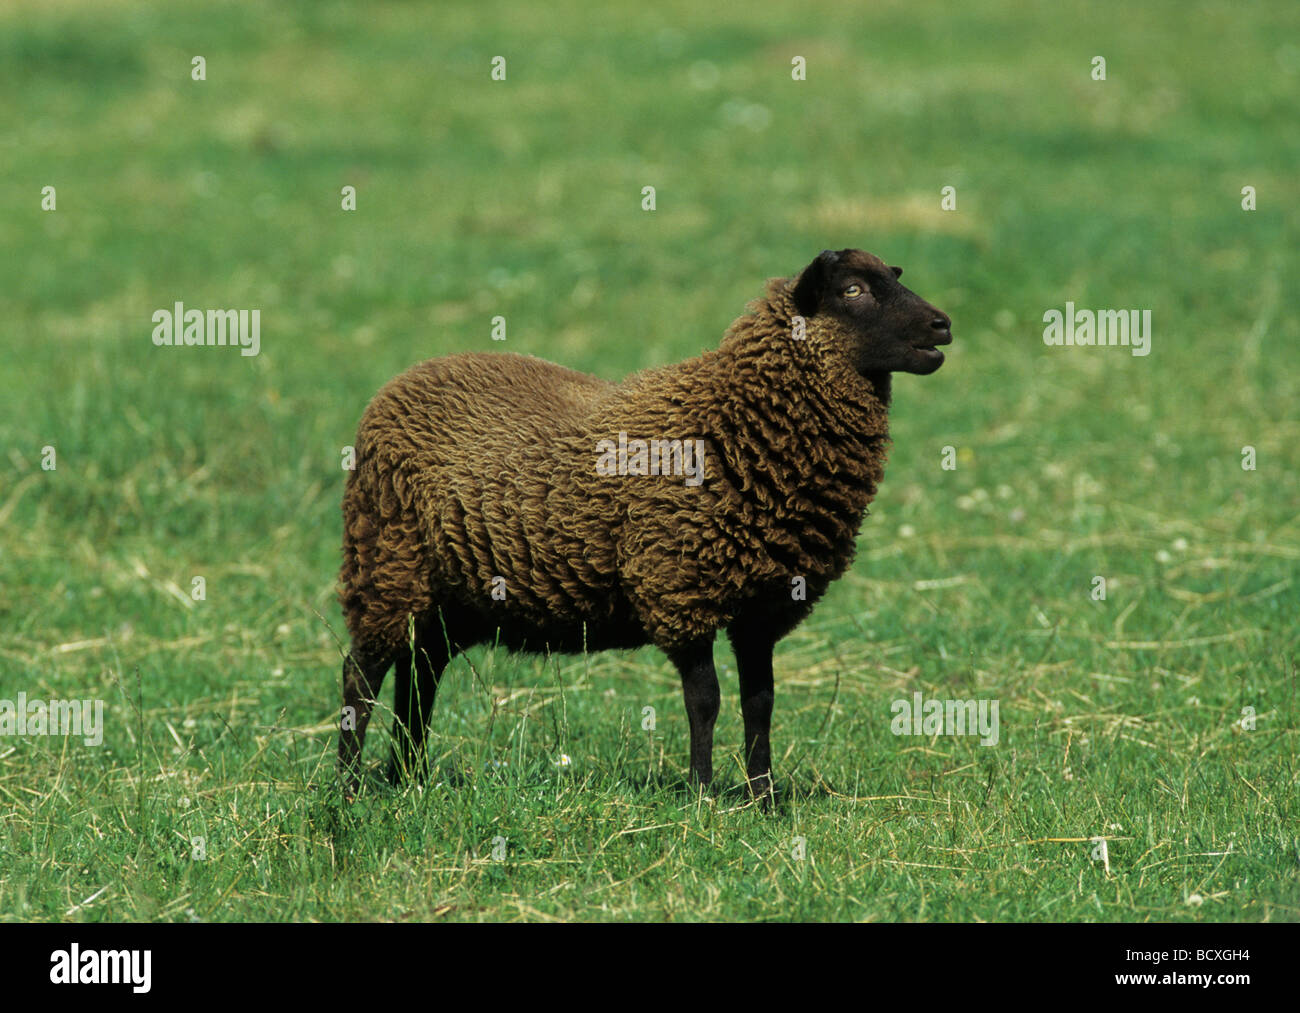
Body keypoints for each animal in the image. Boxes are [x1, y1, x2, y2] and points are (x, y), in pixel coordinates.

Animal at [337, 248, 953, 800]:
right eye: (853, 290)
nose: (943, 325)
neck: (730, 422)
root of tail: (402, 381)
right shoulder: (680, 589)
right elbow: (705, 700)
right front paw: (703, 795)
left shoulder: (762, 608)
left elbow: (761, 701)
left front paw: (765, 798)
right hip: (387, 561)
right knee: (362, 674)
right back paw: (348, 788)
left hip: (447, 596)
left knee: (419, 674)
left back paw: (408, 779)